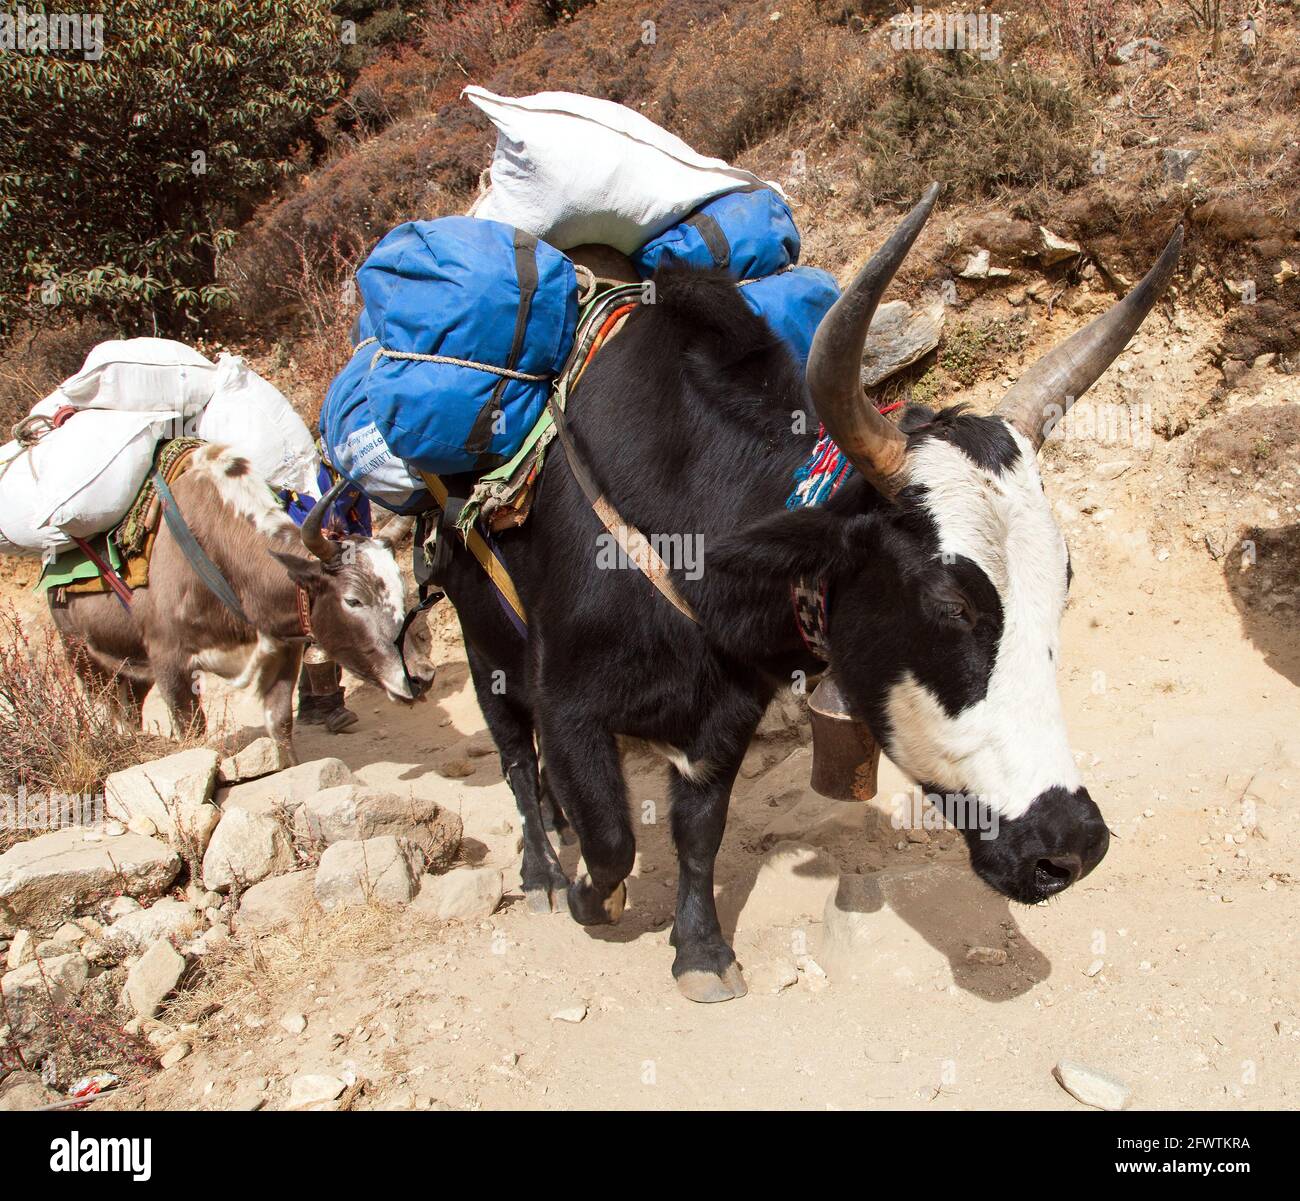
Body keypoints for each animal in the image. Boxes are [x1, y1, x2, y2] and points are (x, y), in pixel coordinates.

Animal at [48, 443, 433, 765]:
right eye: (352, 599)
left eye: (401, 589)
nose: (421, 676)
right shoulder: (169, 662)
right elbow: (192, 732)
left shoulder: (283, 650)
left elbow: (280, 725)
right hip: (84, 658)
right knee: (112, 713)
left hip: (129, 668)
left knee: (129, 709)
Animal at [431, 184, 1182, 1002]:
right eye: (949, 603)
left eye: (1062, 590)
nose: (1070, 847)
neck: (687, 516)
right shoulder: (567, 699)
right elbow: (611, 837)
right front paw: (587, 899)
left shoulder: (727, 712)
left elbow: (698, 829)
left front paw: (702, 953)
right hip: (482, 645)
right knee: (513, 754)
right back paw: (540, 869)